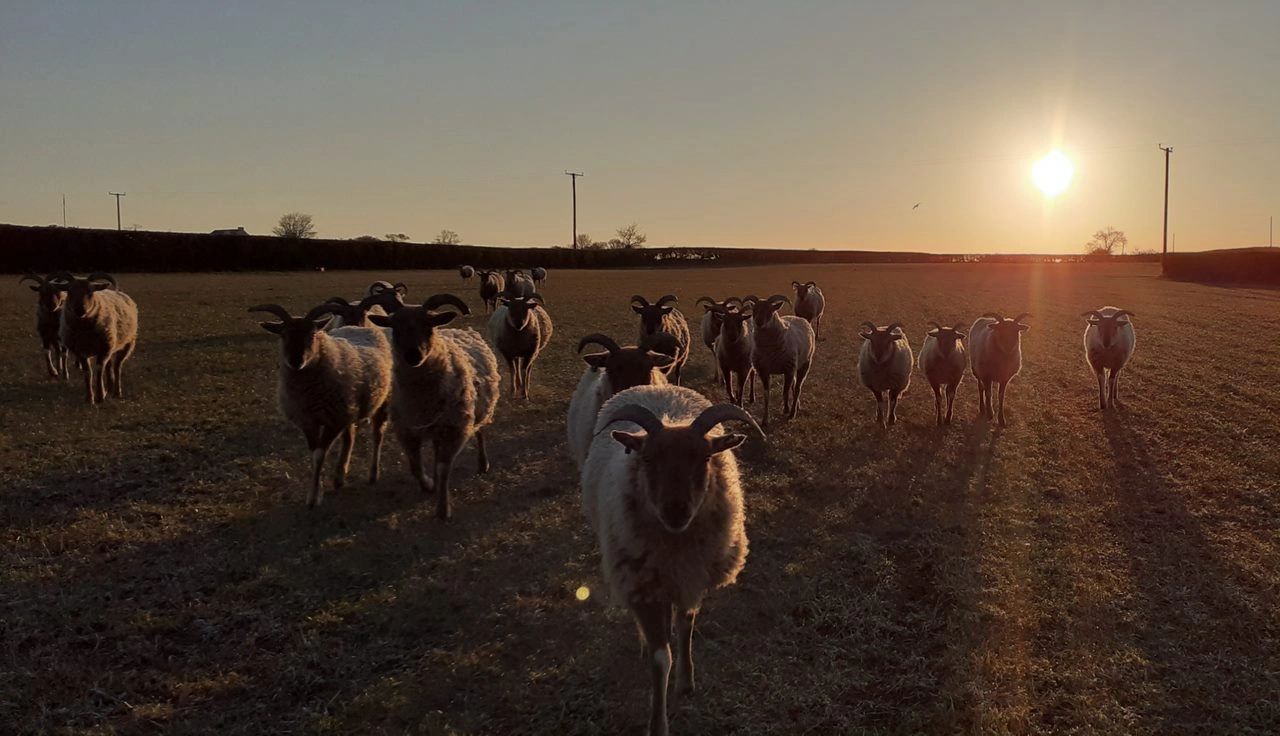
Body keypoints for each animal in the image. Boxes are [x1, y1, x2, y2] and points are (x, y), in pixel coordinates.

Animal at [51, 272, 139, 405]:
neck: (84, 331)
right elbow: (88, 373)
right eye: (69, 291)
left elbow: (99, 371)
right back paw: (109, 387)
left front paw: (100, 396)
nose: (80, 310)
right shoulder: (80, 352)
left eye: (90, 292)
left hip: (127, 344)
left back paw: (117, 392)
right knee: (109, 366)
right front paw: (89, 398)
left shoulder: (104, 349)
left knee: (117, 367)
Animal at [249, 303, 392, 508]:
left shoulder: (333, 421)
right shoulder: (309, 421)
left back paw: (373, 474)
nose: (296, 361)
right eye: (283, 335)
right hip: (348, 408)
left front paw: (314, 498)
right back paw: (339, 477)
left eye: (312, 334)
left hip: (379, 401)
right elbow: (313, 454)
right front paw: (314, 493)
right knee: (350, 437)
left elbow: (319, 454)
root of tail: (358, 327)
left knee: (377, 435)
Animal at [368, 294, 499, 520]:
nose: (413, 355)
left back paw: (483, 464)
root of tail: (461, 329)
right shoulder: (407, 431)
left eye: (429, 327)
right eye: (395, 328)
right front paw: (428, 485)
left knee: (480, 433)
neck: (423, 398)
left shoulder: (454, 430)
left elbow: (444, 469)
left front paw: (442, 509)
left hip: (477, 410)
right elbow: (415, 467)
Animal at [581, 386, 763, 736]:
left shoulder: (691, 580)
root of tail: (655, 387)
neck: (676, 547)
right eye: (648, 459)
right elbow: (659, 658)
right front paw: (658, 723)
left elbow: (685, 628)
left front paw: (686, 680)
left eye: (705, 458)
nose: (676, 511)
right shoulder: (645, 590)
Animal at [746, 294, 814, 426]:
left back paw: (793, 412)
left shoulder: (788, 369)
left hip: (805, 364)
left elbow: (785, 391)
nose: (758, 322)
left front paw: (786, 409)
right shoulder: (764, 371)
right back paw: (796, 406)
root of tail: (797, 317)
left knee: (797, 388)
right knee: (794, 385)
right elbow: (767, 395)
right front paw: (765, 420)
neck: (769, 351)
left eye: (770, 310)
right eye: (754, 310)